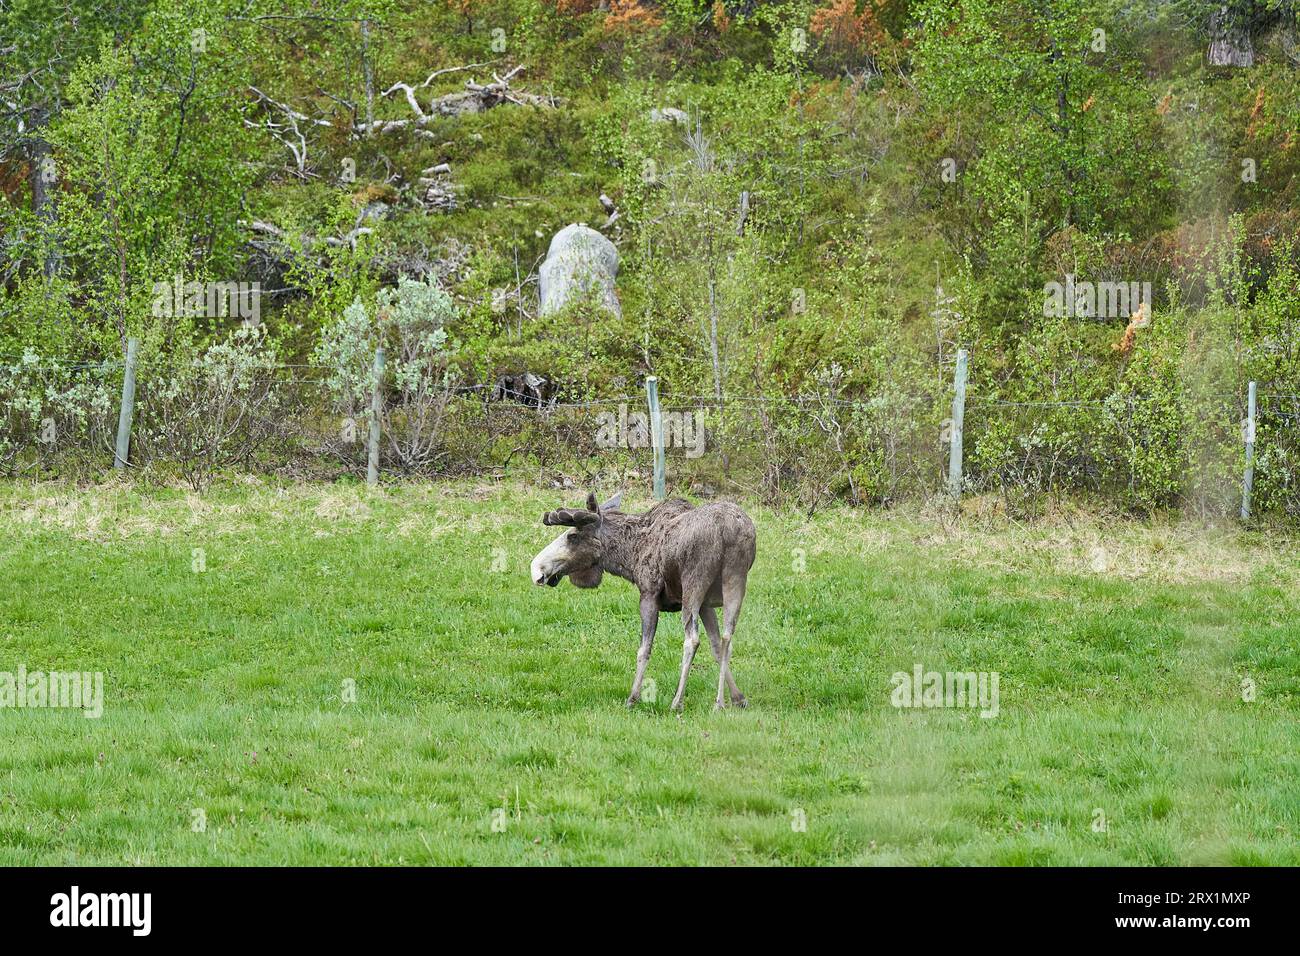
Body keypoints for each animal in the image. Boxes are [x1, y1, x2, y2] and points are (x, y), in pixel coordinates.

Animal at [530, 491, 756, 712]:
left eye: (573, 536)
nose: (537, 568)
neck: (629, 555)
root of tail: (729, 530)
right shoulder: (706, 605)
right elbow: (716, 646)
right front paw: (738, 697)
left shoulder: (649, 594)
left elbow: (644, 649)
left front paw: (633, 698)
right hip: (735, 579)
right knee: (727, 636)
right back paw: (719, 702)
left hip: (694, 583)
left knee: (692, 639)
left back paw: (677, 702)